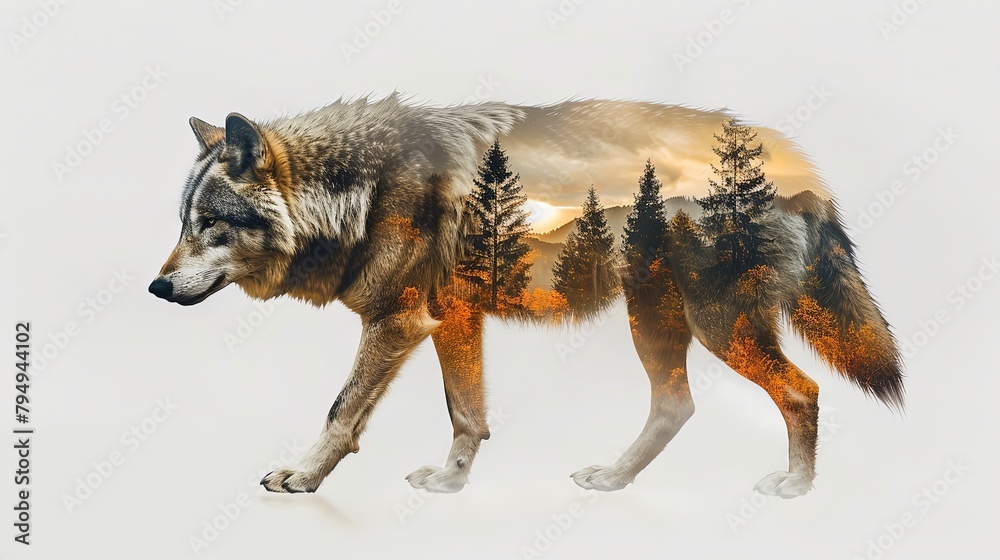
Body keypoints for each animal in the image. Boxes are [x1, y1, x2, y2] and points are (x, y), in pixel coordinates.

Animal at [149, 95, 903, 497]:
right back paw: (614, 479)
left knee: (802, 392)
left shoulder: (397, 323)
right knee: (676, 406)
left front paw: (302, 478)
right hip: (657, 323)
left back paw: (796, 488)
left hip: (717, 325)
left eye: (210, 225)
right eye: (183, 223)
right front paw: (452, 484)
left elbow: (341, 412)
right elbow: (467, 415)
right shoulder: (452, 323)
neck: (362, 194)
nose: (156, 287)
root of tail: (799, 165)